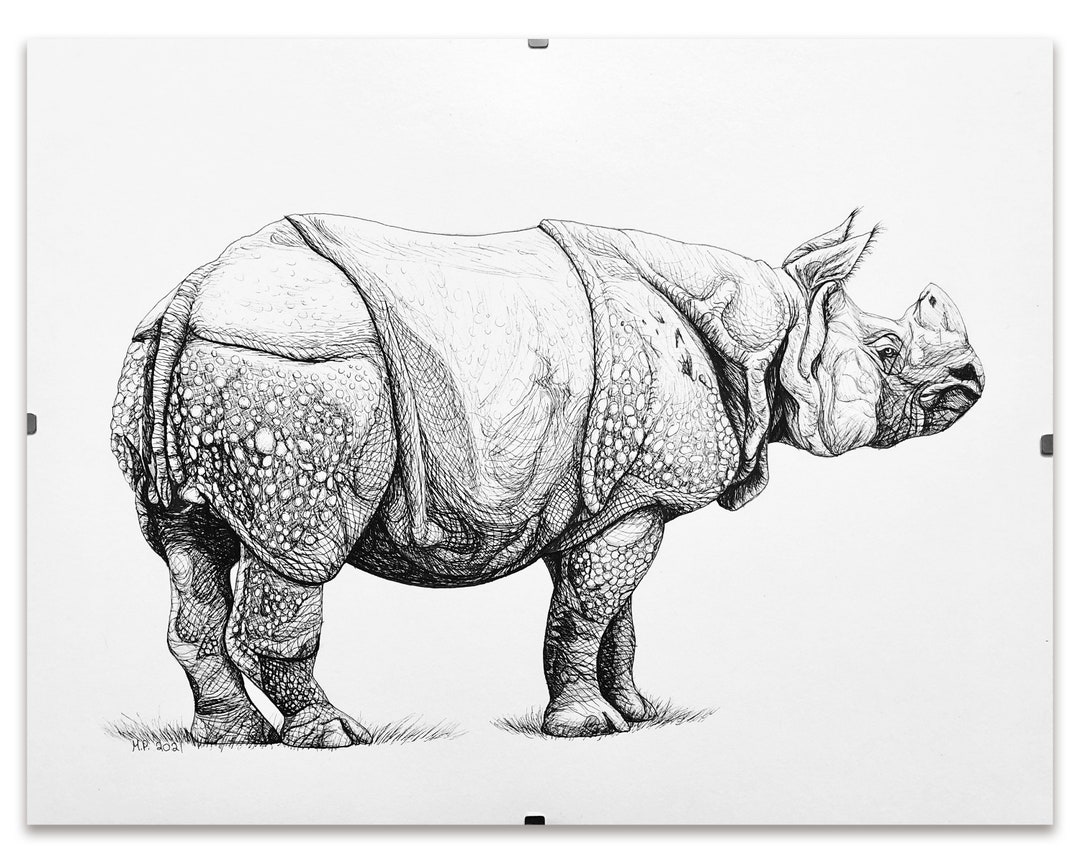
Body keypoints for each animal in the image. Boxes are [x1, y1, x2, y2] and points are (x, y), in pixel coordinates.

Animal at [110, 211, 984, 747]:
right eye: (886, 352)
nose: (972, 380)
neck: (774, 331)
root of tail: (189, 296)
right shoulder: (635, 495)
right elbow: (588, 610)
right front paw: (587, 728)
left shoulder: (621, 496)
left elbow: (612, 612)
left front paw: (635, 711)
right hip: (299, 375)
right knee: (297, 555)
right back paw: (332, 737)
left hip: (187, 361)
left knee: (188, 546)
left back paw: (232, 737)